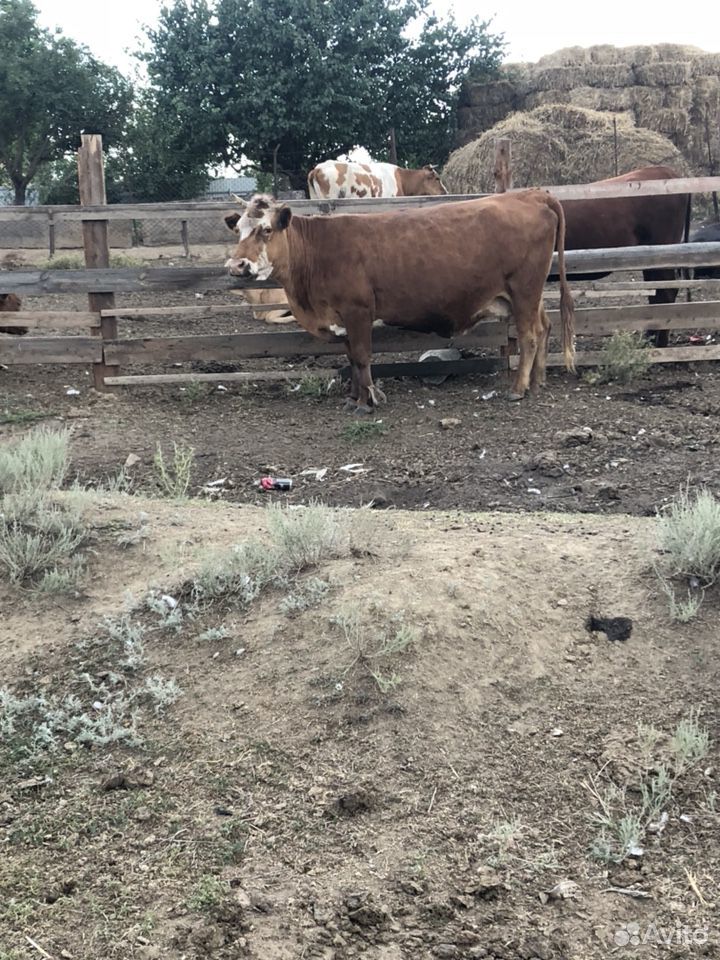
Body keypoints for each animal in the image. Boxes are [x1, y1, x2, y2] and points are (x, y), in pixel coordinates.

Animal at [225, 192, 575, 412]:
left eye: (266, 229)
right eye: (237, 230)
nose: (236, 265)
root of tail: (530, 195)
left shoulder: (357, 311)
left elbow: (362, 357)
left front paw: (369, 401)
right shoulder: (342, 318)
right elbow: (351, 357)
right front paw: (354, 398)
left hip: (524, 290)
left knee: (529, 336)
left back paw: (518, 389)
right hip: (528, 295)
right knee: (544, 327)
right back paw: (538, 381)